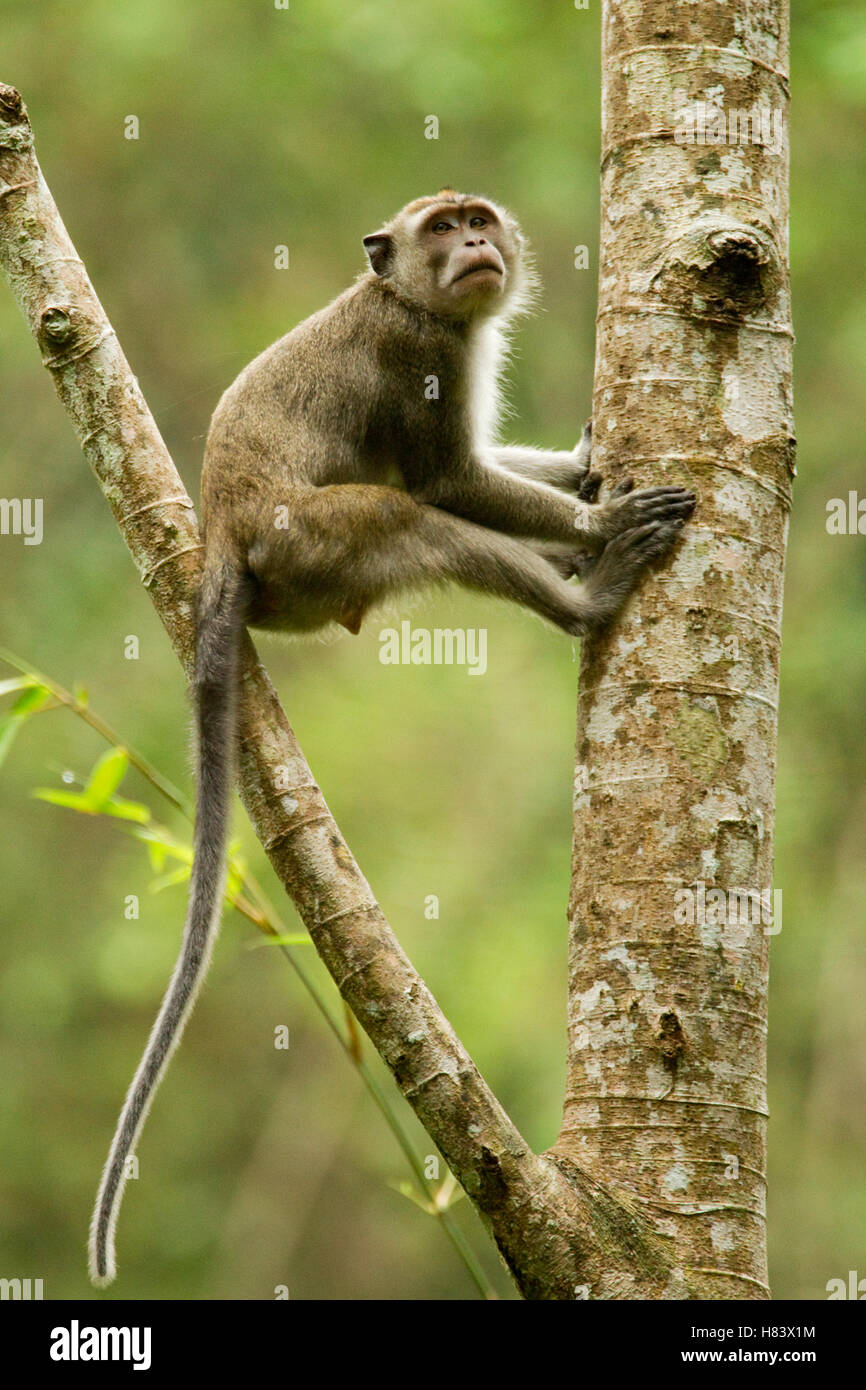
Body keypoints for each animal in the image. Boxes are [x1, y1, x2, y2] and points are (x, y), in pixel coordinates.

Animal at [88, 190, 695, 1285]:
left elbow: (487, 470)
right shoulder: (421, 354)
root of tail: (225, 537)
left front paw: (584, 470)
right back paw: (588, 596)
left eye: (477, 217)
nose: (475, 244)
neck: (414, 304)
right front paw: (603, 518)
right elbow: (451, 482)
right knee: (408, 514)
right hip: (314, 546)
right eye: (442, 226)